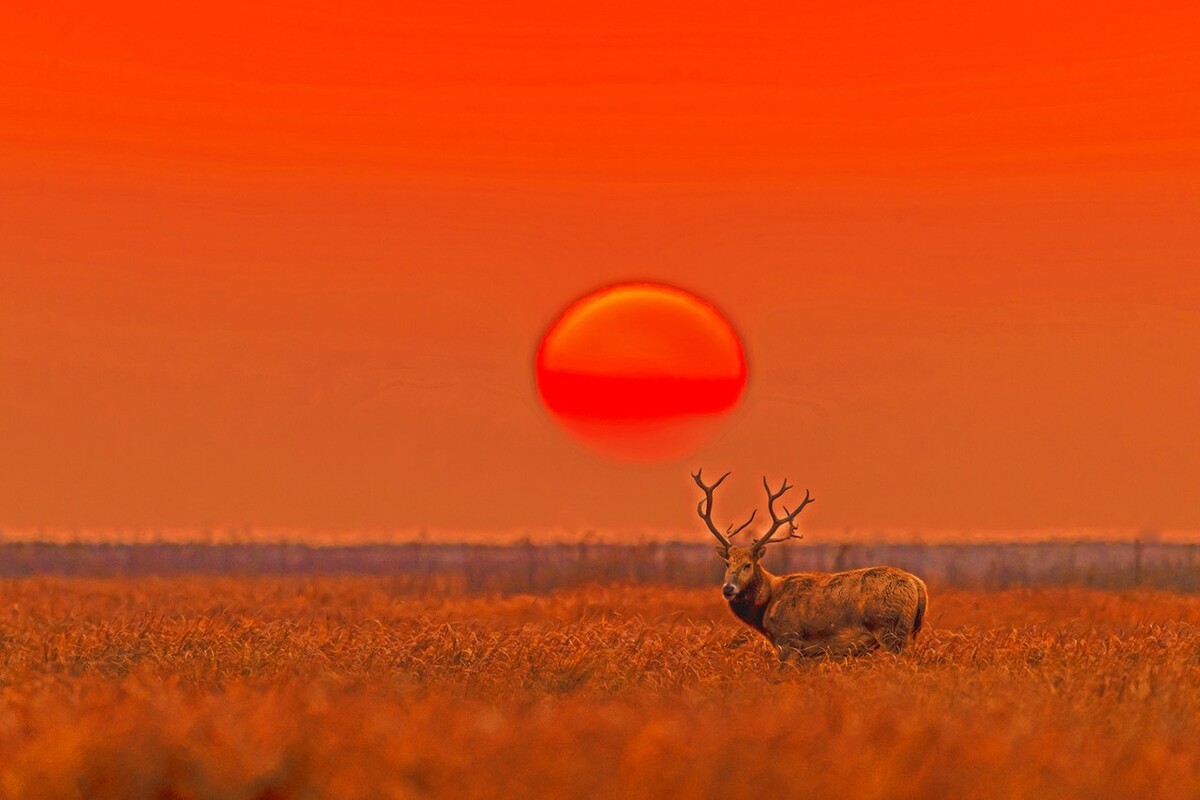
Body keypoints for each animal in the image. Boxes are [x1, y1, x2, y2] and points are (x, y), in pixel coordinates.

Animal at [696, 470, 926, 662]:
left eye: (748, 564)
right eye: (727, 563)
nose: (728, 588)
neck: (766, 606)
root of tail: (918, 586)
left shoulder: (789, 639)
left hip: (890, 630)